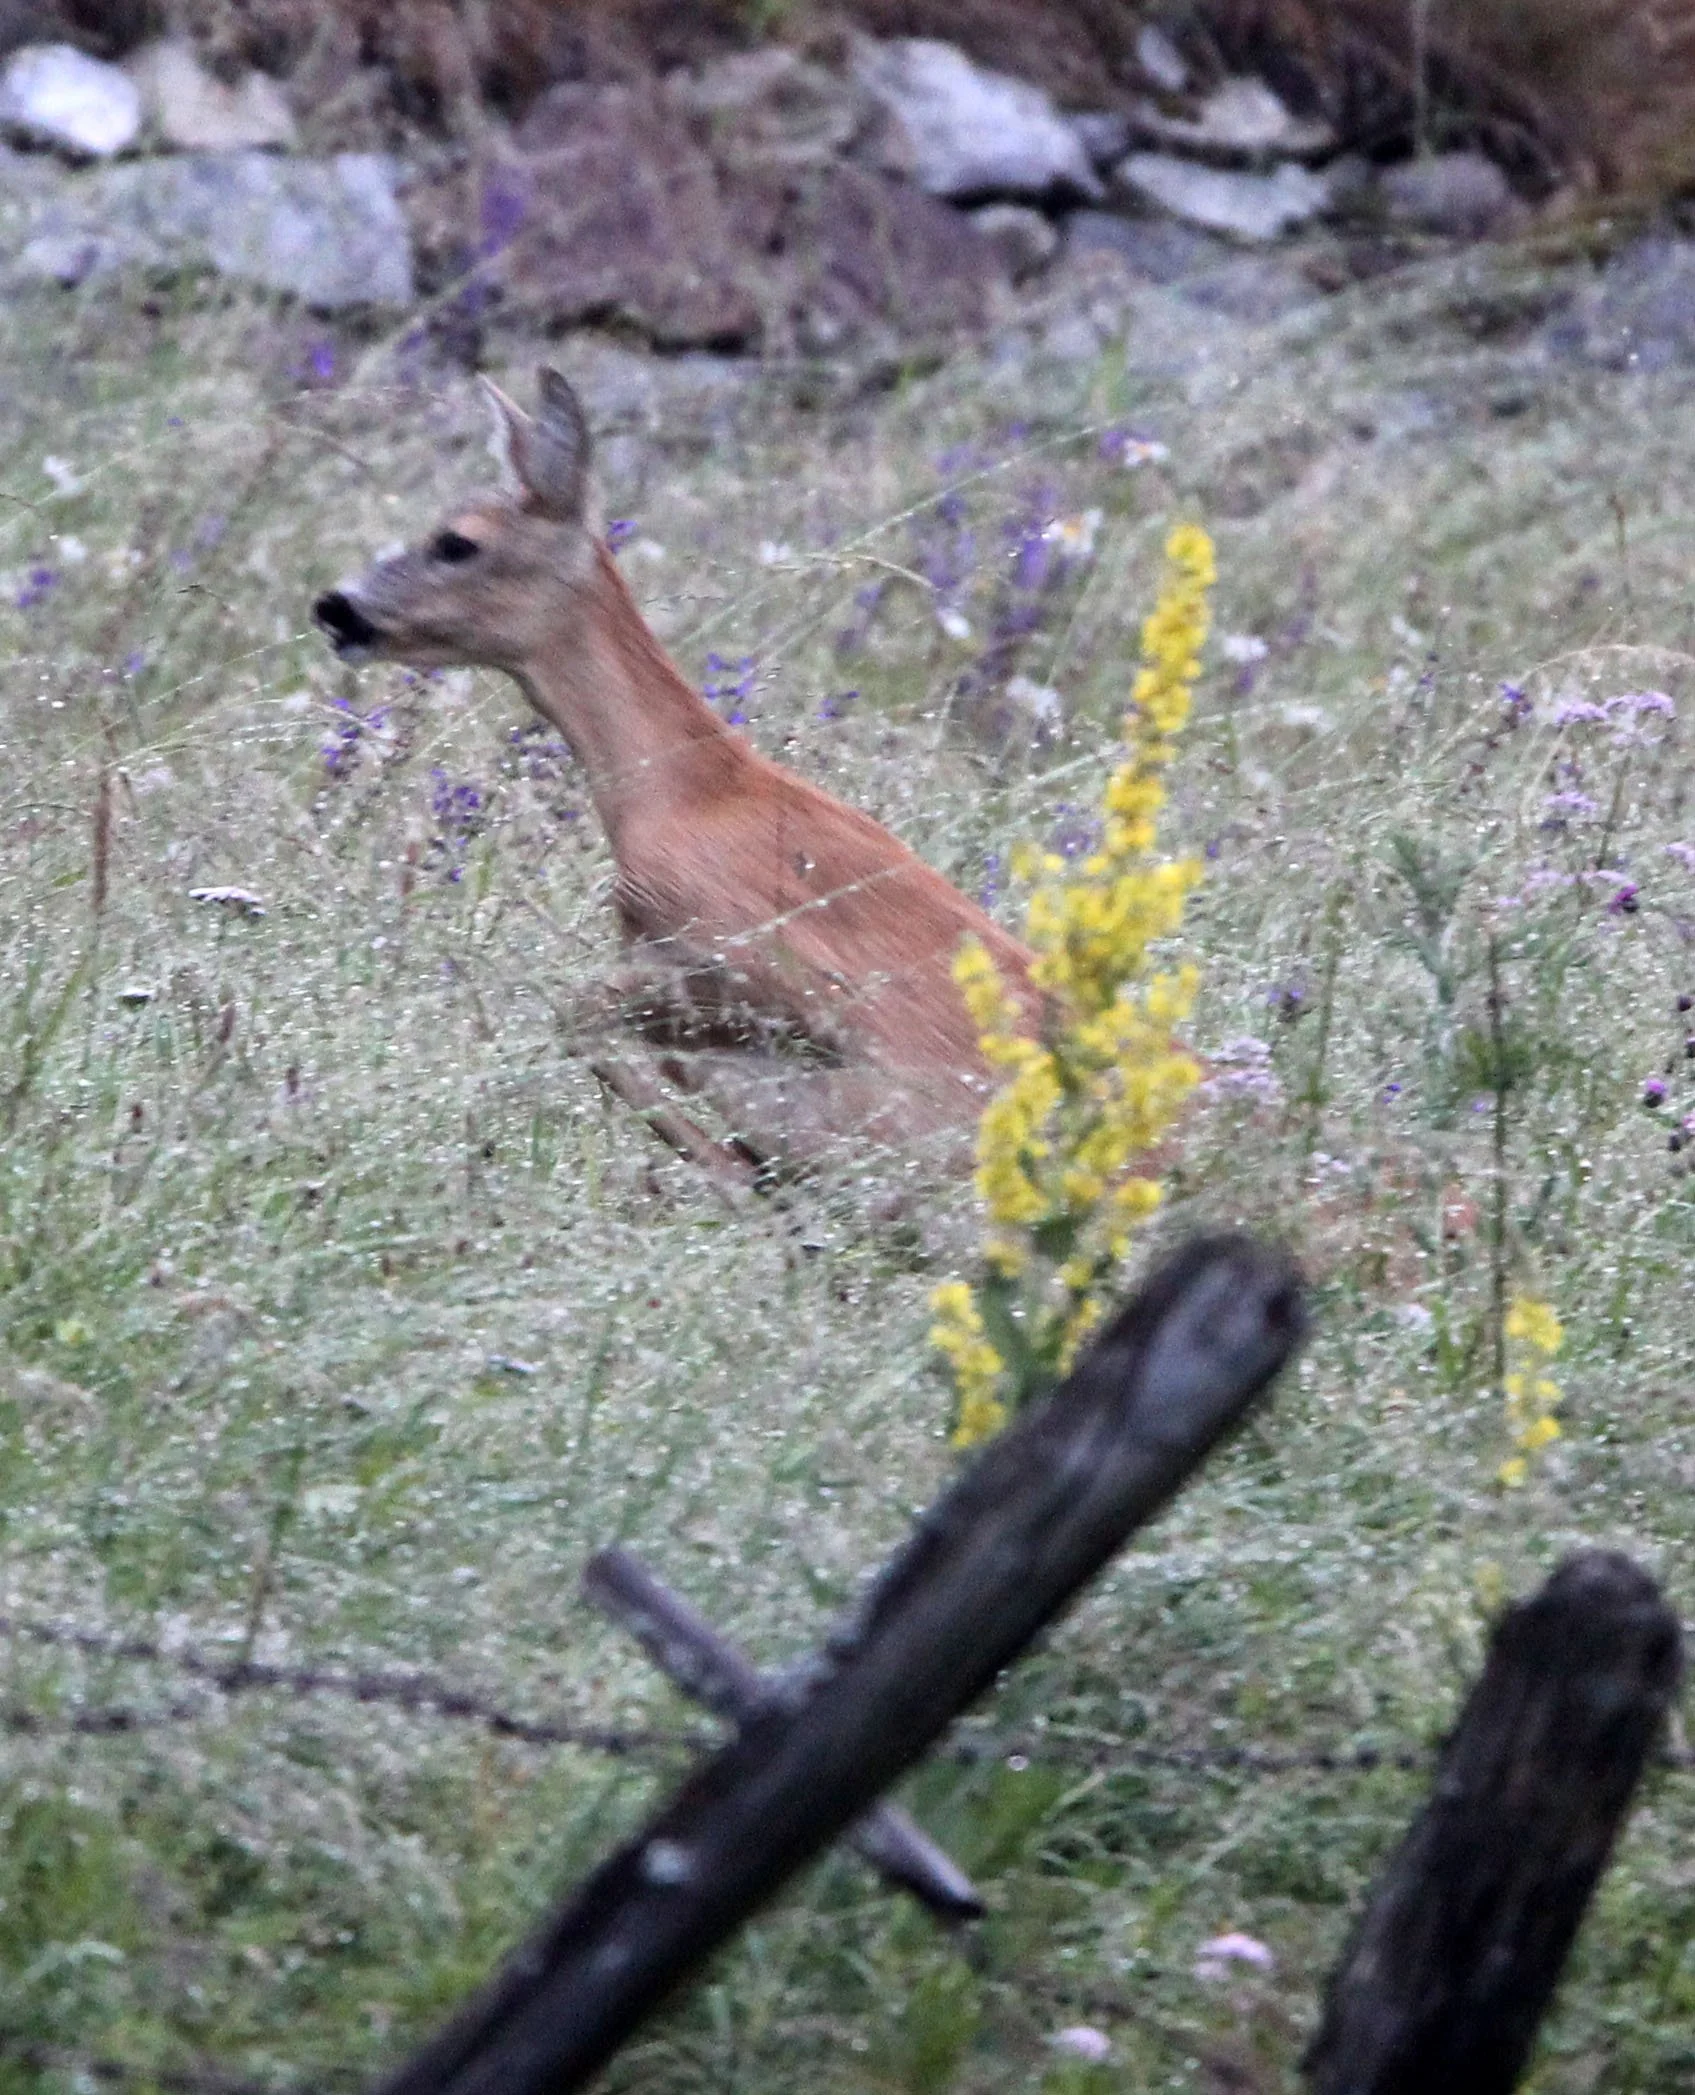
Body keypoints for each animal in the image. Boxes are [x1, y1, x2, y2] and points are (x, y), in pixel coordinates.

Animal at [314, 367, 1042, 1188]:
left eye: (456, 541)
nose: (334, 607)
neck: (683, 793)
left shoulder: (754, 964)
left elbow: (578, 1014)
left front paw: (731, 1176)